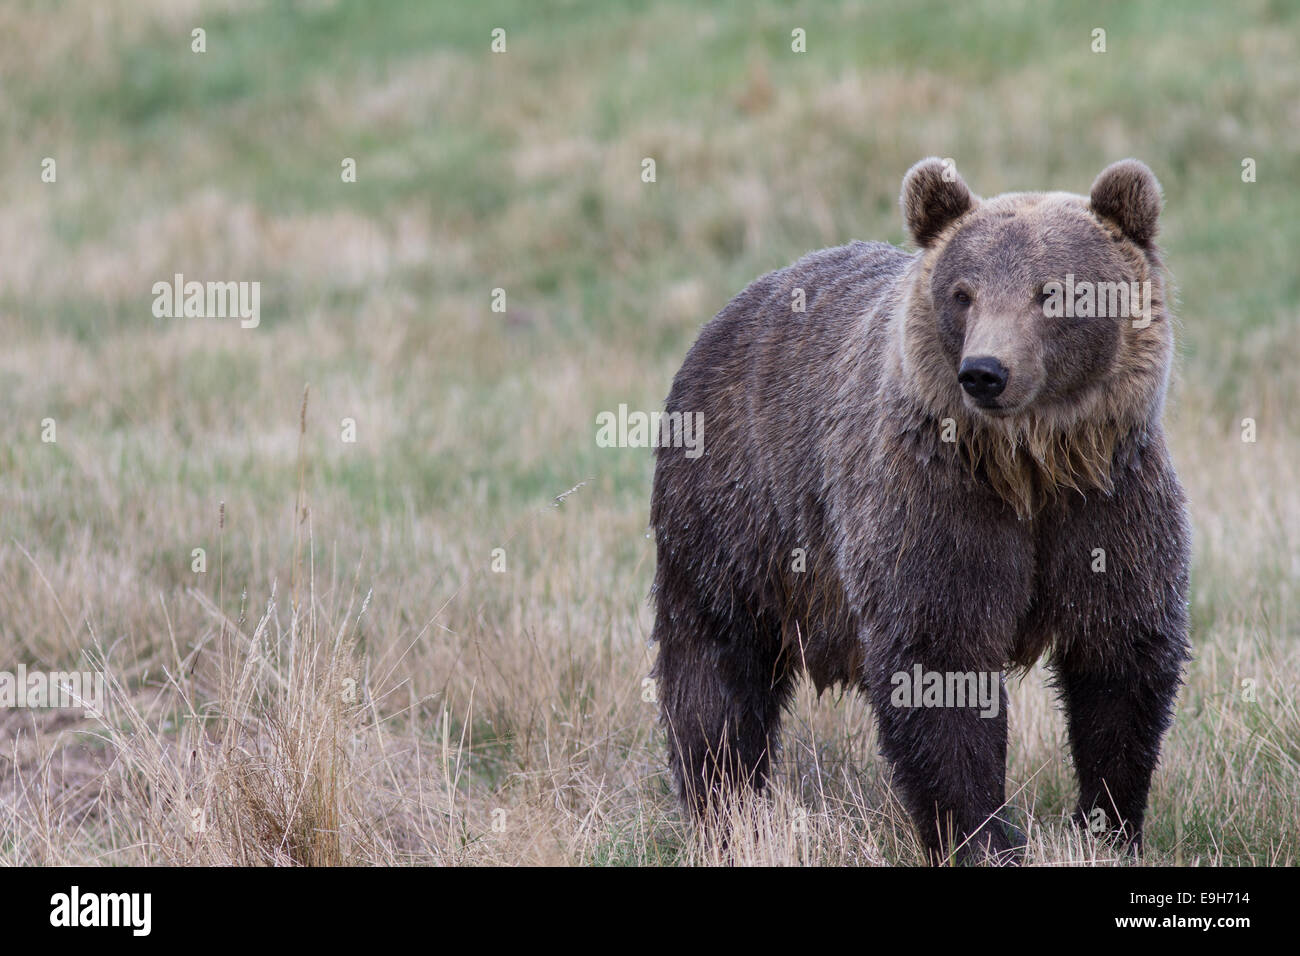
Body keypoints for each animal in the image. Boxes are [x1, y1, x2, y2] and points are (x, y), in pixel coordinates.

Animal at [649, 158, 1190, 865]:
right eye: (963, 293)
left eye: (1052, 293)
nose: (985, 371)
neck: (1030, 466)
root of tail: (732, 308)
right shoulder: (934, 505)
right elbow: (940, 659)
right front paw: (981, 836)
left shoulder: (1105, 506)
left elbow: (1120, 657)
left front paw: (1107, 825)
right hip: (735, 505)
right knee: (715, 661)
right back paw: (727, 812)